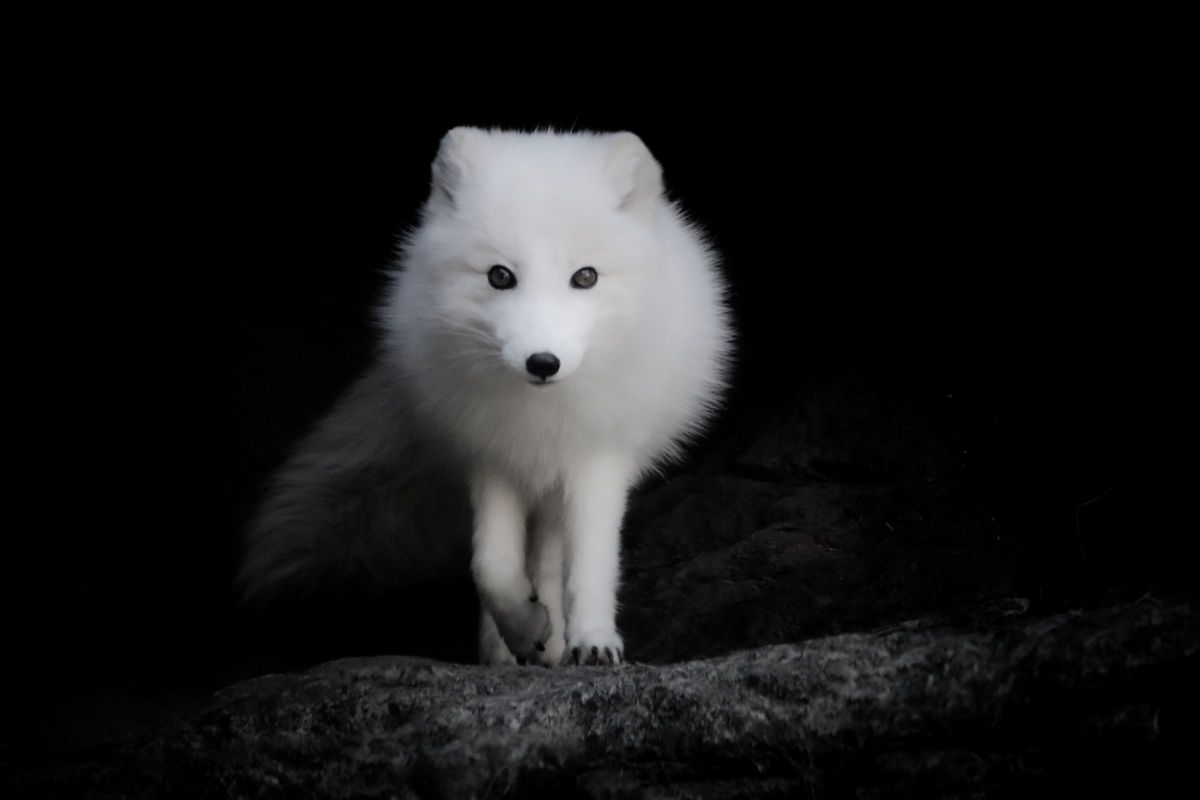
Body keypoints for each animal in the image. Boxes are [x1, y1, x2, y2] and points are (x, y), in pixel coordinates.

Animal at [240, 127, 734, 666]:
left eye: (585, 277)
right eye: (500, 275)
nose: (542, 362)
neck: (539, 418)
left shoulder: (599, 457)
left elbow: (590, 565)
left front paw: (592, 641)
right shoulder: (490, 456)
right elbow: (491, 566)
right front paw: (521, 631)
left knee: (551, 551)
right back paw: (512, 650)